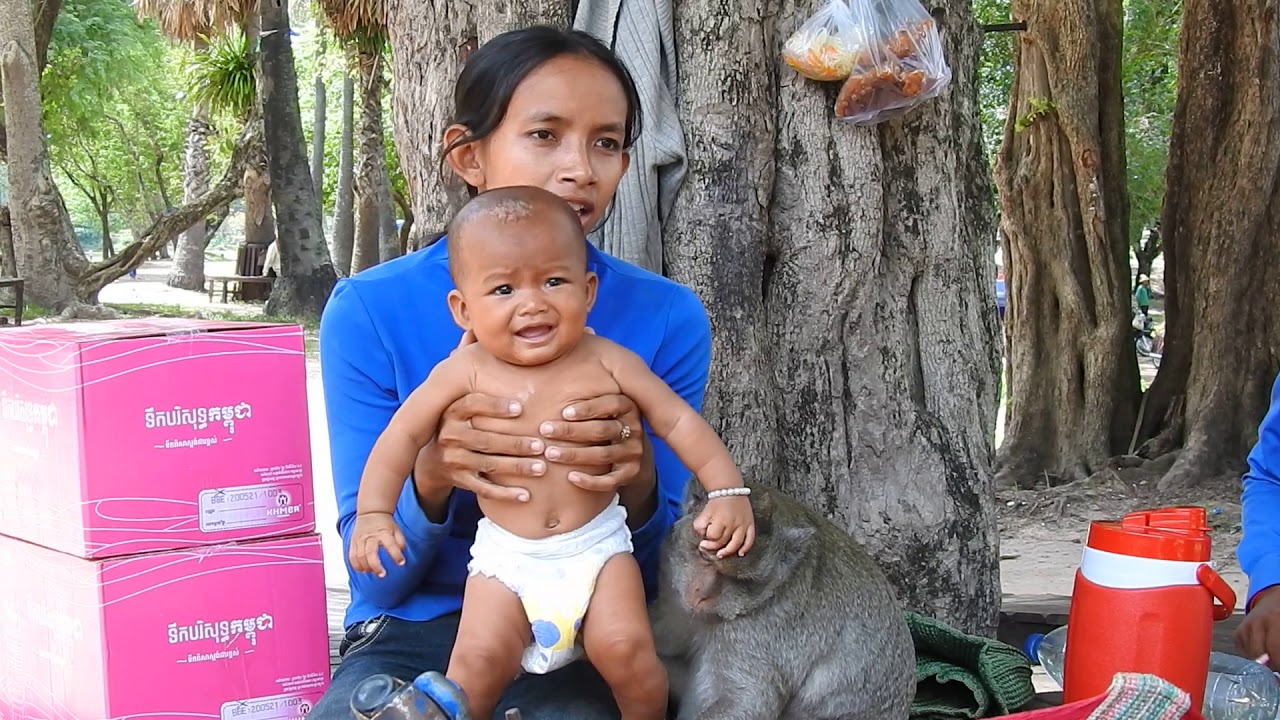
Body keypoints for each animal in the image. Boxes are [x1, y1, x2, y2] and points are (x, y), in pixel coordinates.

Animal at [649, 482, 916, 720]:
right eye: (703, 556)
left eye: (742, 580)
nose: (702, 593)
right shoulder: (673, 586)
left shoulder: (755, 632)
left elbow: (752, 699)